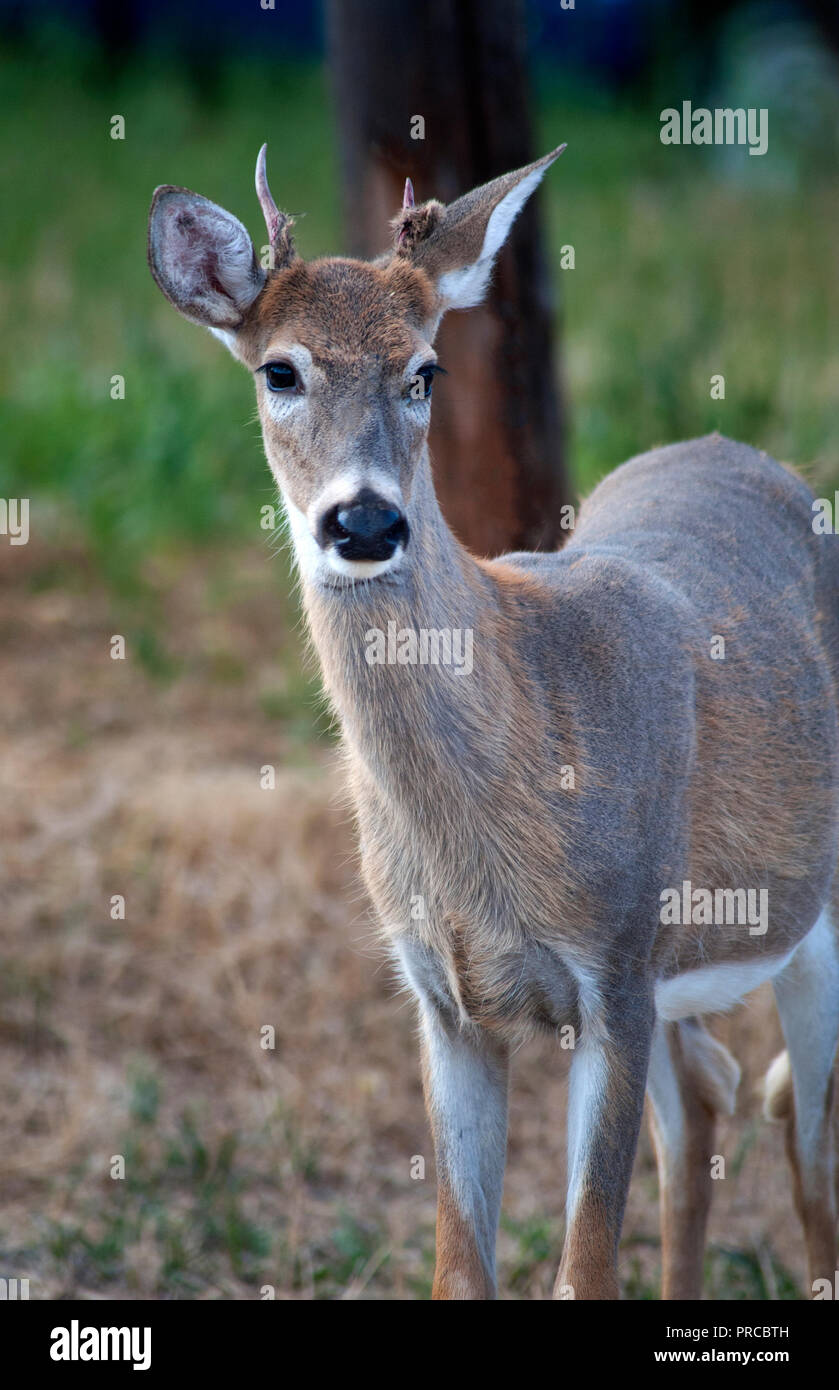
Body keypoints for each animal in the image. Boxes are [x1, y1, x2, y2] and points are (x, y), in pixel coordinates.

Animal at [147, 143, 839, 1300]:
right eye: (278, 371)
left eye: (424, 369)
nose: (365, 521)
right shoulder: (446, 1001)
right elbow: (458, 1270)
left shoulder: (613, 967)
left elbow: (583, 1268)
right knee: (707, 1103)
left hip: (799, 932)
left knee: (808, 1149)